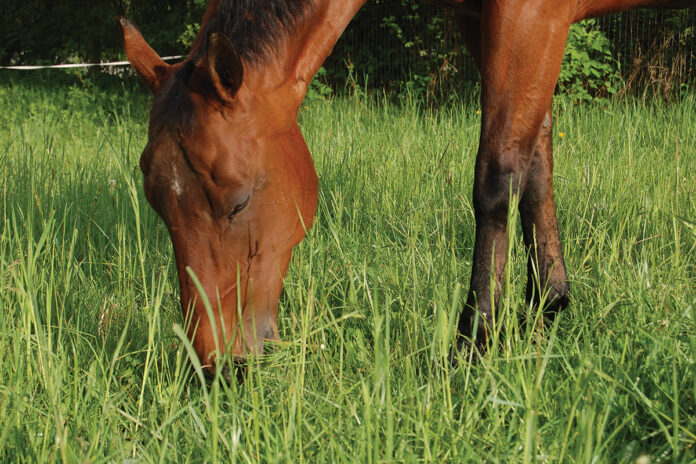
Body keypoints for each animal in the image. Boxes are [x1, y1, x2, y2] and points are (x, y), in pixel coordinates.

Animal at [119, 0, 693, 375]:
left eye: (238, 202)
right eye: (158, 205)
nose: (216, 366)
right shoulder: (483, 19)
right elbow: (536, 158)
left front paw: (474, 344)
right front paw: (546, 305)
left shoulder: (531, 14)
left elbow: (499, 173)